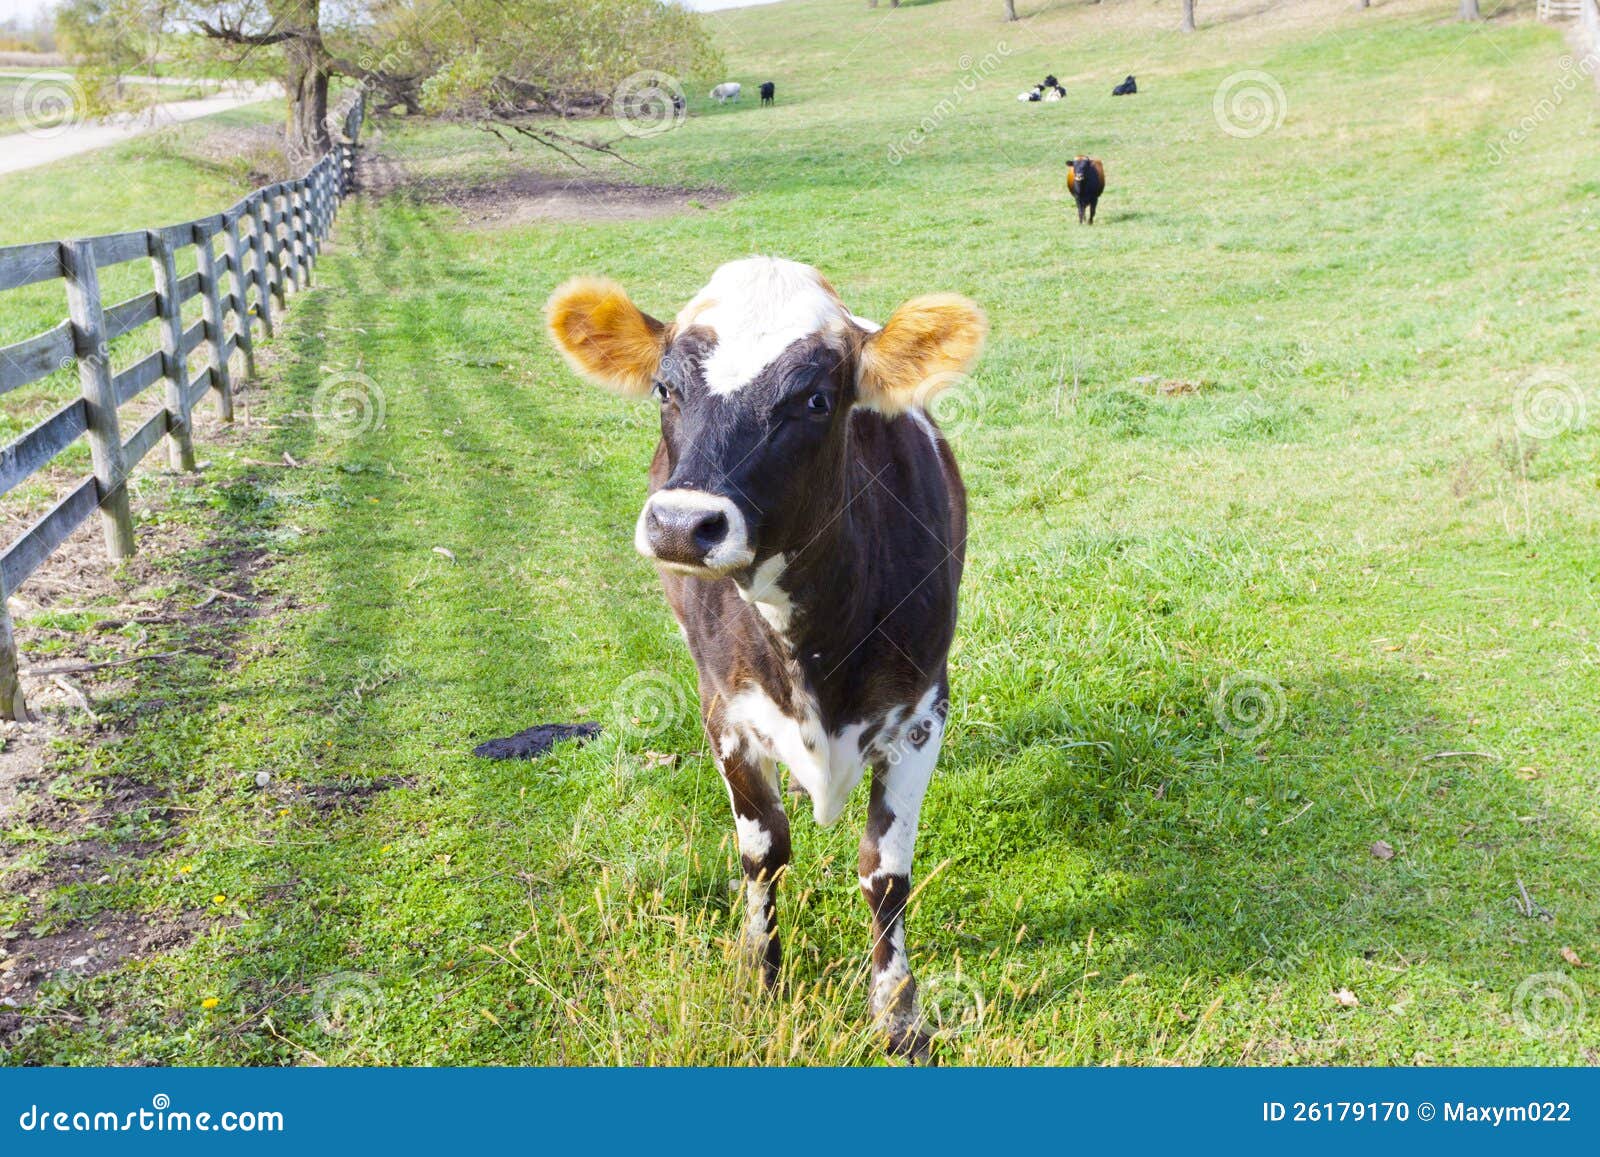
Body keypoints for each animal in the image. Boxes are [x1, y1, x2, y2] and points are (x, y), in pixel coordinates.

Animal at [544, 257, 987, 1060]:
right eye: (665, 388)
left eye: (815, 399)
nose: (682, 524)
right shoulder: (726, 712)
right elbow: (764, 851)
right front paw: (760, 976)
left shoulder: (920, 711)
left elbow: (885, 872)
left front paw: (896, 1015)